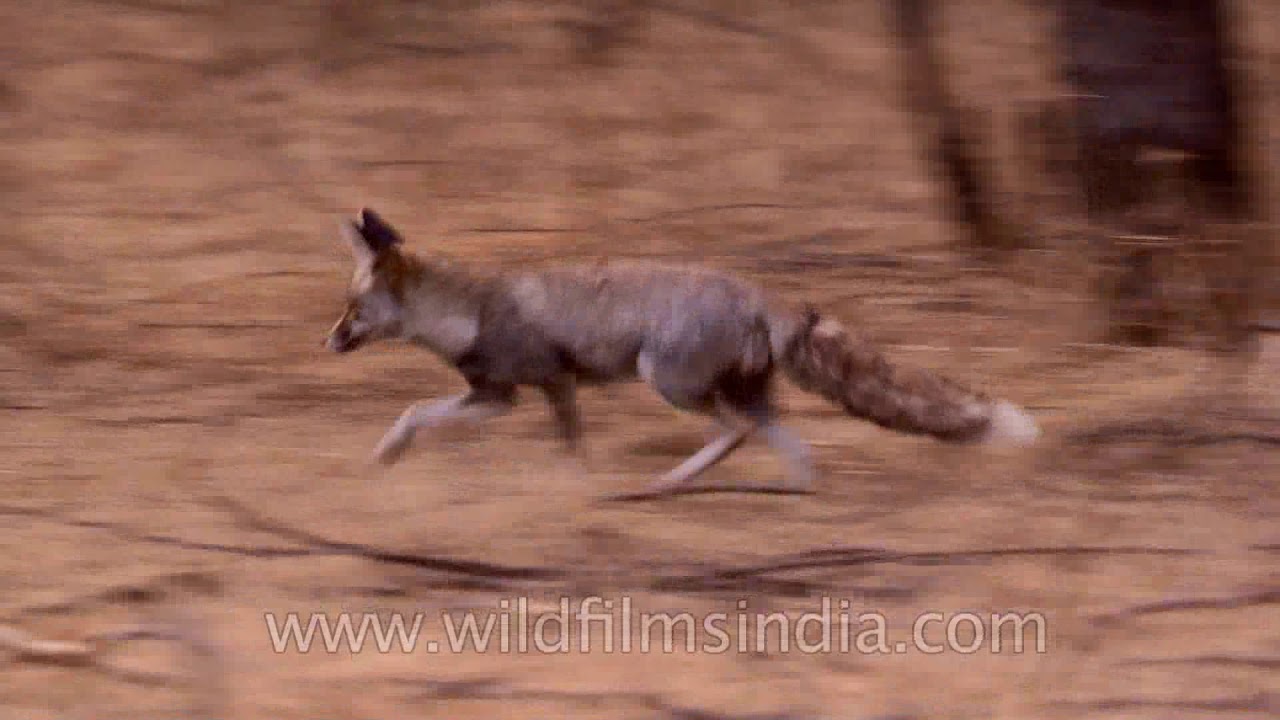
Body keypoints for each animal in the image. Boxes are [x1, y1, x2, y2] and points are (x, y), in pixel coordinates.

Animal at [325, 208, 1039, 494]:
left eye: (354, 310)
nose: (326, 341)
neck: (467, 309)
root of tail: (764, 294)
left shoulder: (535, 389)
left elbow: (567, 449)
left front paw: (575, 488)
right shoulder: (496, 395)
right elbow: (413, 415)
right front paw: (386, 457)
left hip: (667, 382)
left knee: (735, 433)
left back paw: (673, 483)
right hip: (744, 397)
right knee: (792, 447)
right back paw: (786, 499)